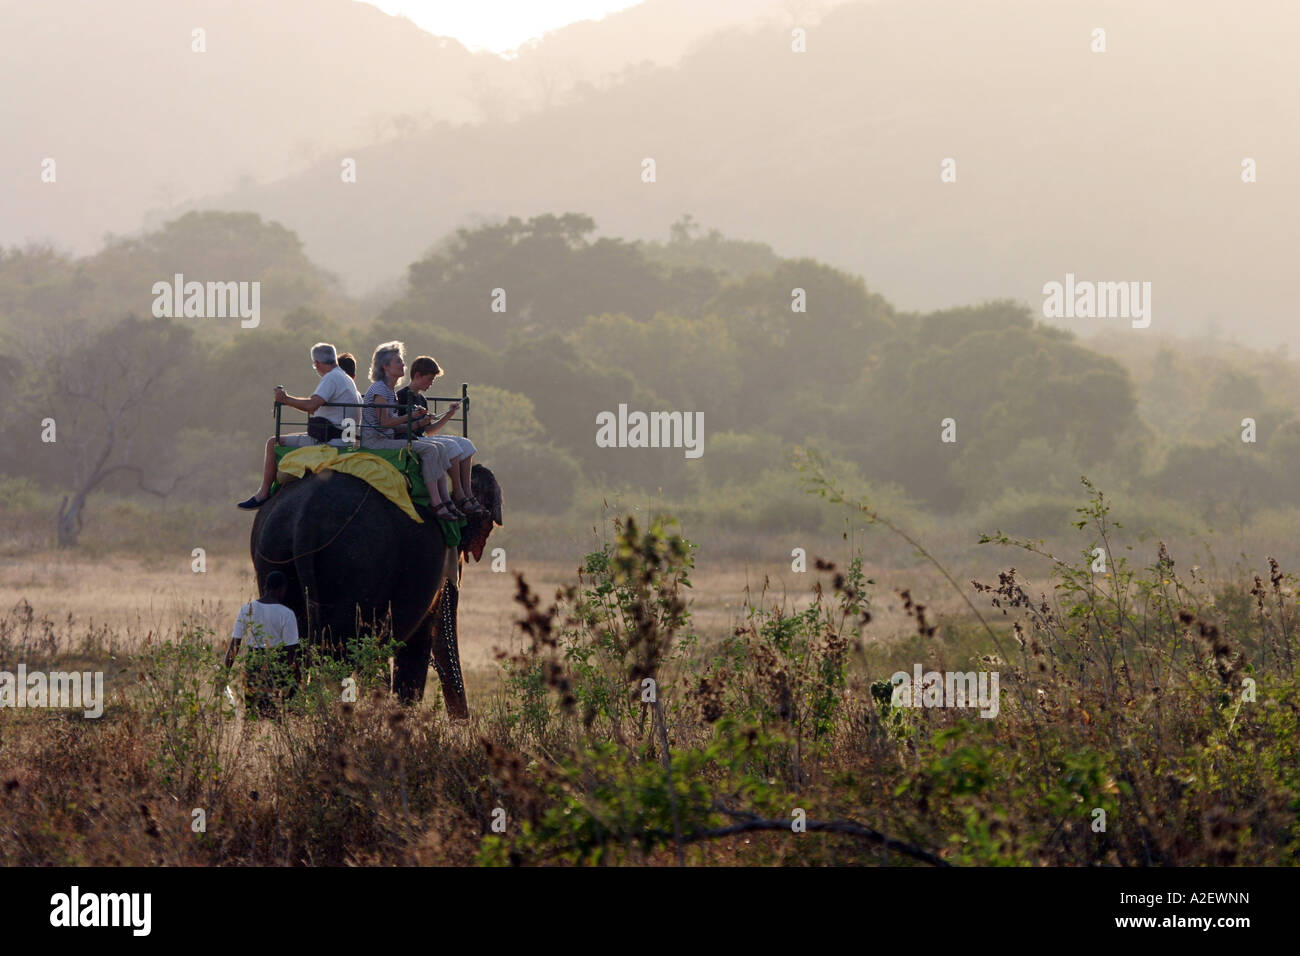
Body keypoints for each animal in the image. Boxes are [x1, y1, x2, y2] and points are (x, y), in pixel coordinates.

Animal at [248, 461, 502, 718]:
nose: (461, 721)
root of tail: (305, 522)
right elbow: (416, 643)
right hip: (357, 565)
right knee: (337, 655)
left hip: (274, 552)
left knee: (286, 651)